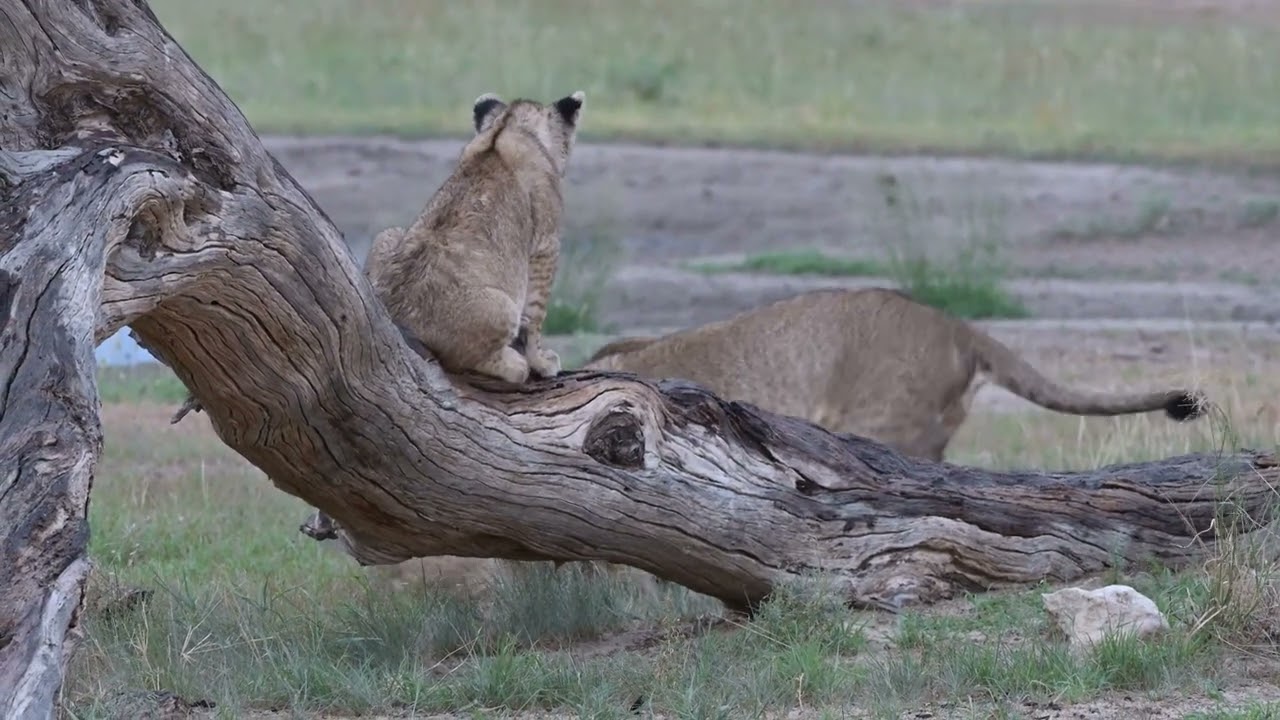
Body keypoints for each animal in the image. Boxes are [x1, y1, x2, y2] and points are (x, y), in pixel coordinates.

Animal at [364, 90, 586, 383]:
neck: (508, 124)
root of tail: (395, 319)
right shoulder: (546, 246)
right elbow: (536, 314)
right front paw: (542, 361)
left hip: (389, 234)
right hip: (503, 306)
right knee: (462, 360)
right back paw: (516, 365)